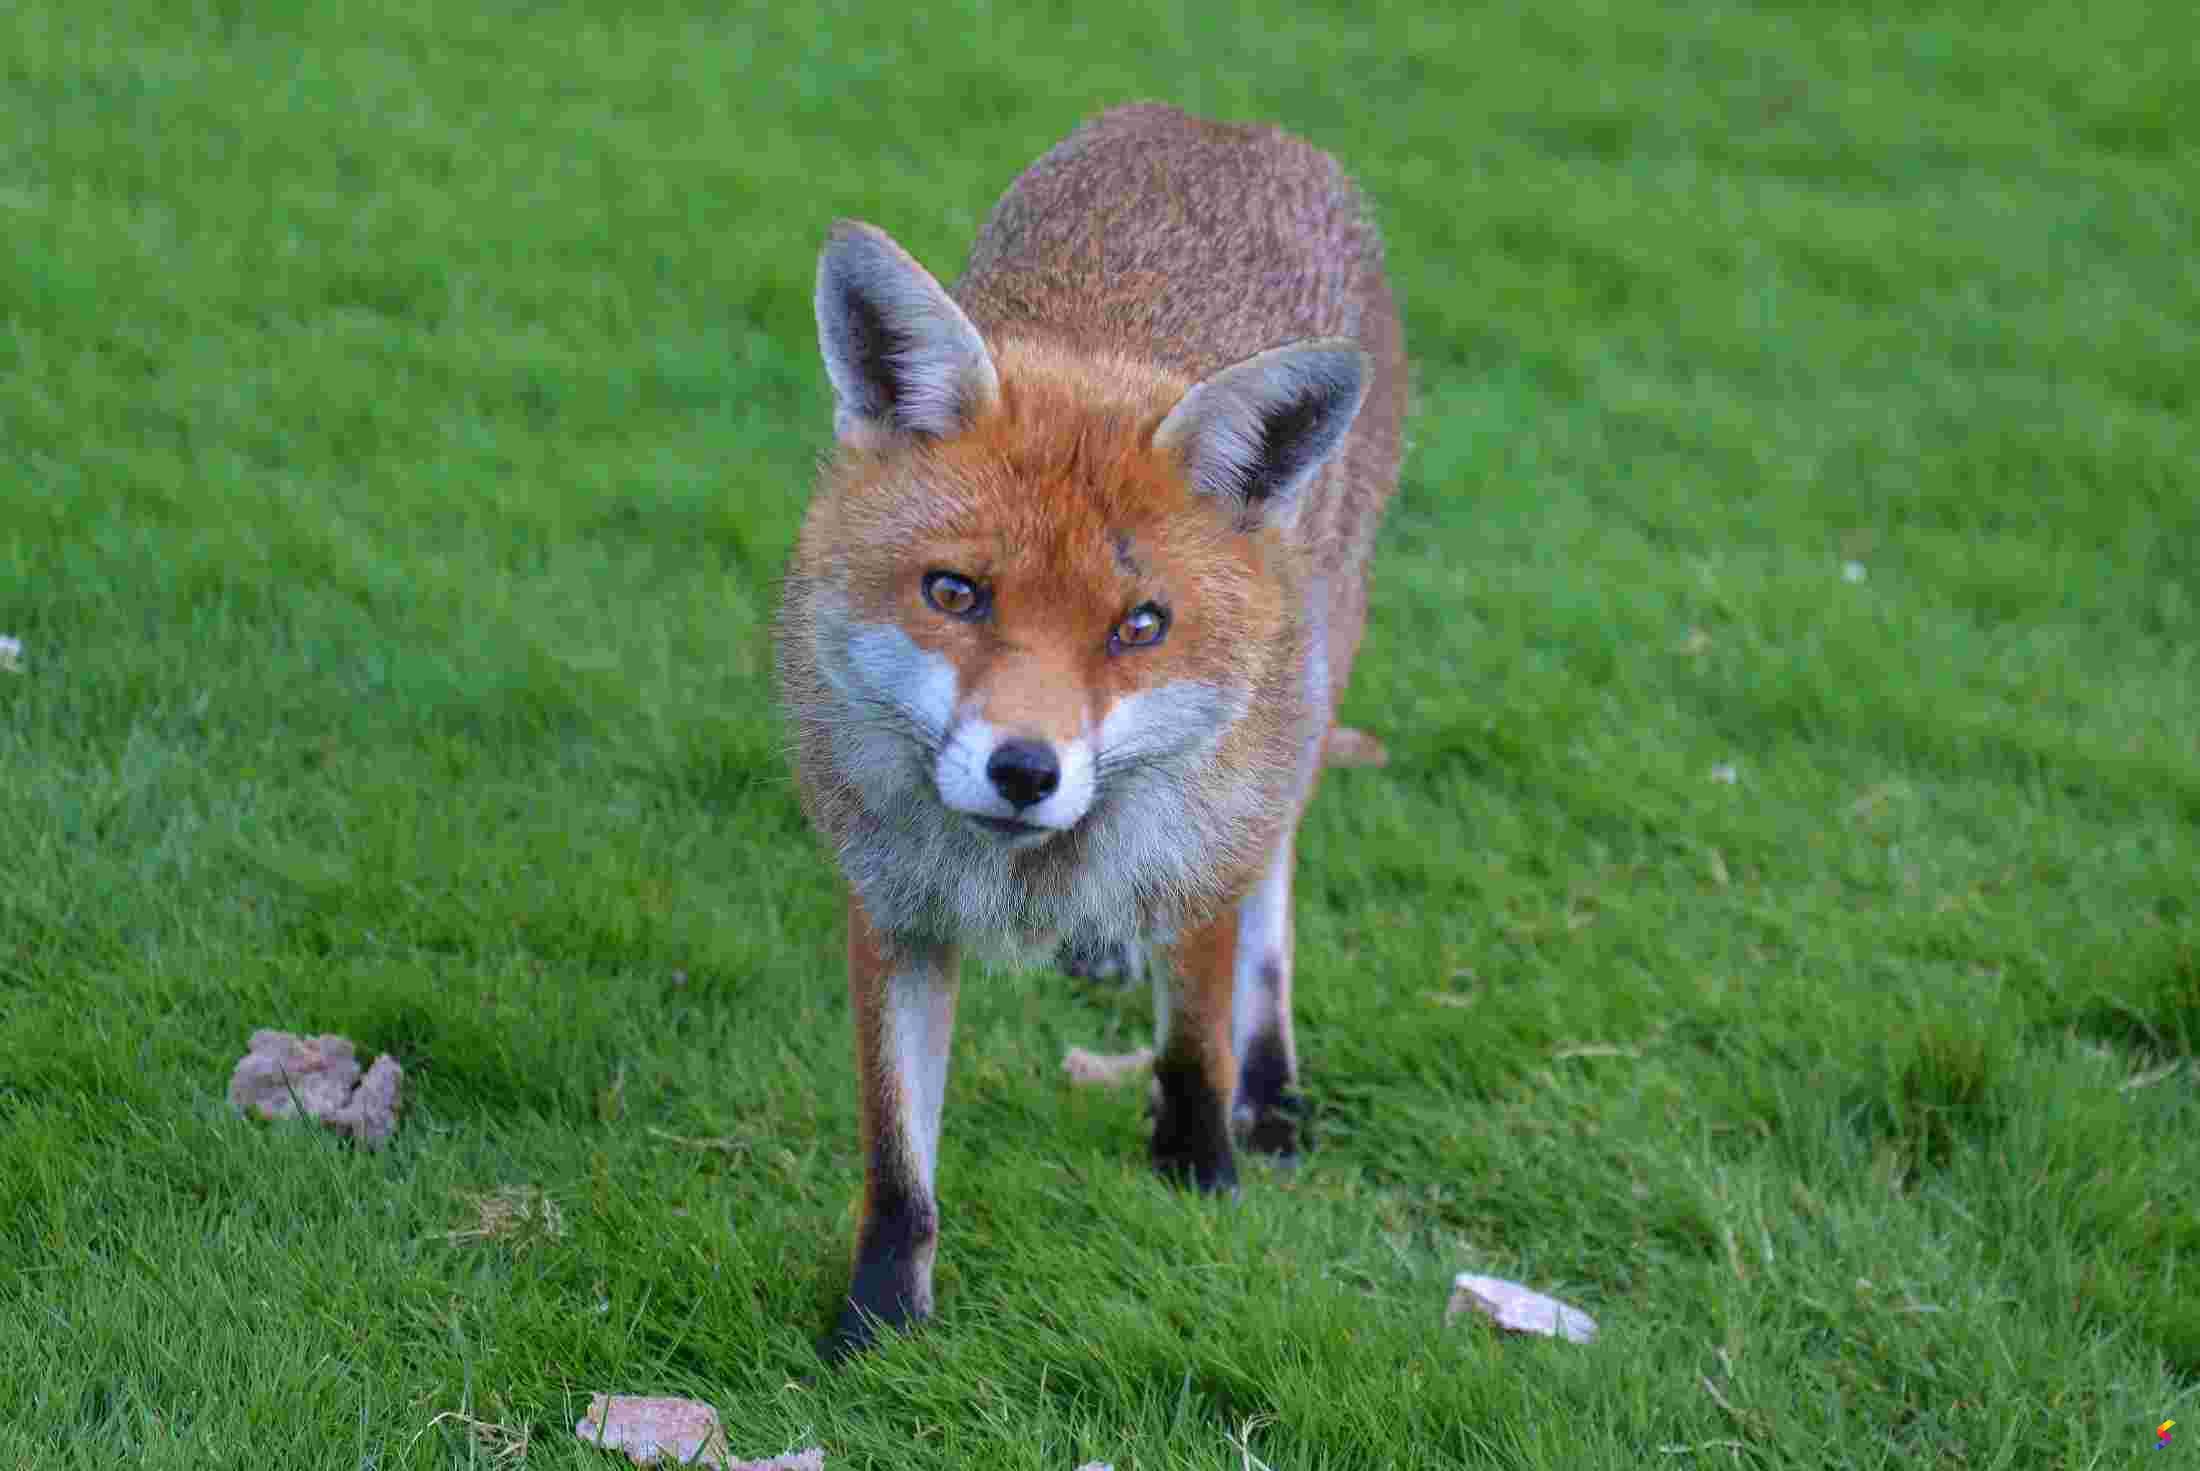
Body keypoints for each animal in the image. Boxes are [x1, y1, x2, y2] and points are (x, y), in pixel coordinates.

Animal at [775, 101, 1406, 1361]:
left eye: (1140, 625)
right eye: (955, 593)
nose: (1024, 771)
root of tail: (1222, 123)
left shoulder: (1202, 854)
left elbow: (1193, 1042)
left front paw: (1200, 1178)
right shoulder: (892, 906)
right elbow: (897, 1163)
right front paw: (876, 1328)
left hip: (1306, 696)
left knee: (1273, 888)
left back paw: (1272, 1091)